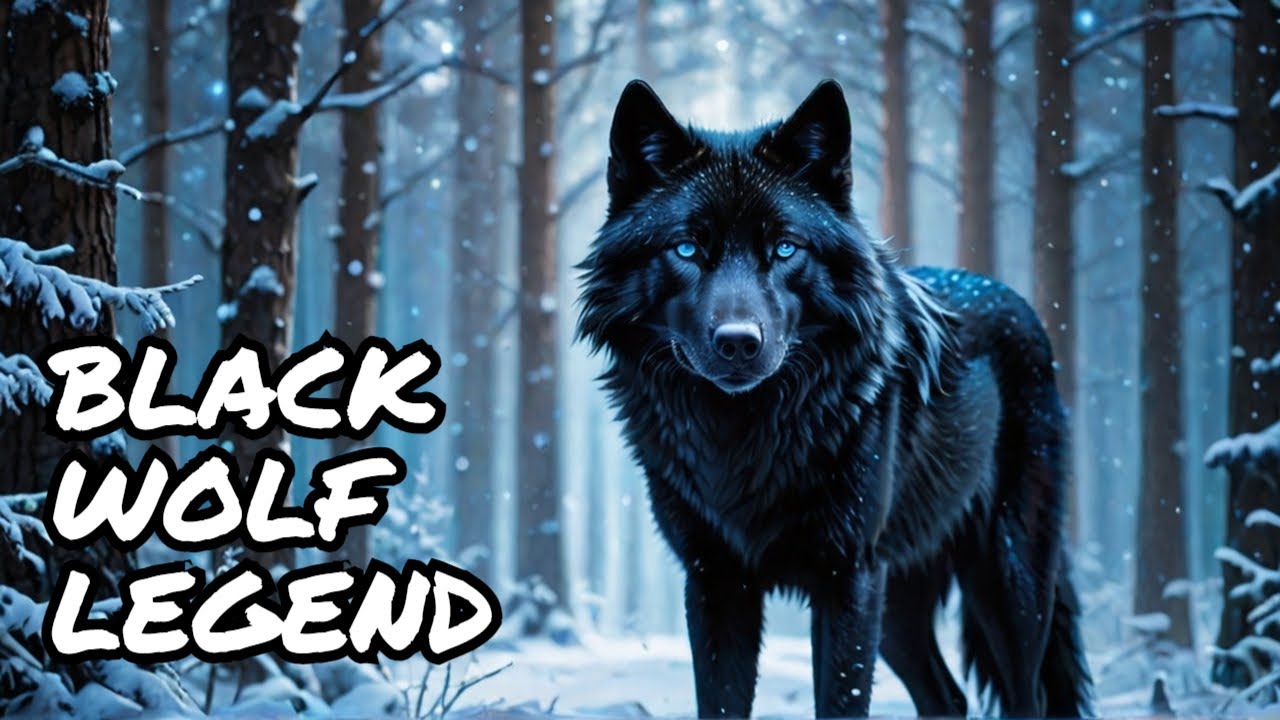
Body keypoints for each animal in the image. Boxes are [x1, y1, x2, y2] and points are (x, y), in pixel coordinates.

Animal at [575, 79, 1093, 718]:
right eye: (688, 250)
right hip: (898, 604)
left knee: (1029, 697)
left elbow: (841, 700)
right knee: (948, 698)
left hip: (1006, 579)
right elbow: (720, 703)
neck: (742, 434)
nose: (738, 343)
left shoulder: (847, 577)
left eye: (785, 249)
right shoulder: (715, 581)